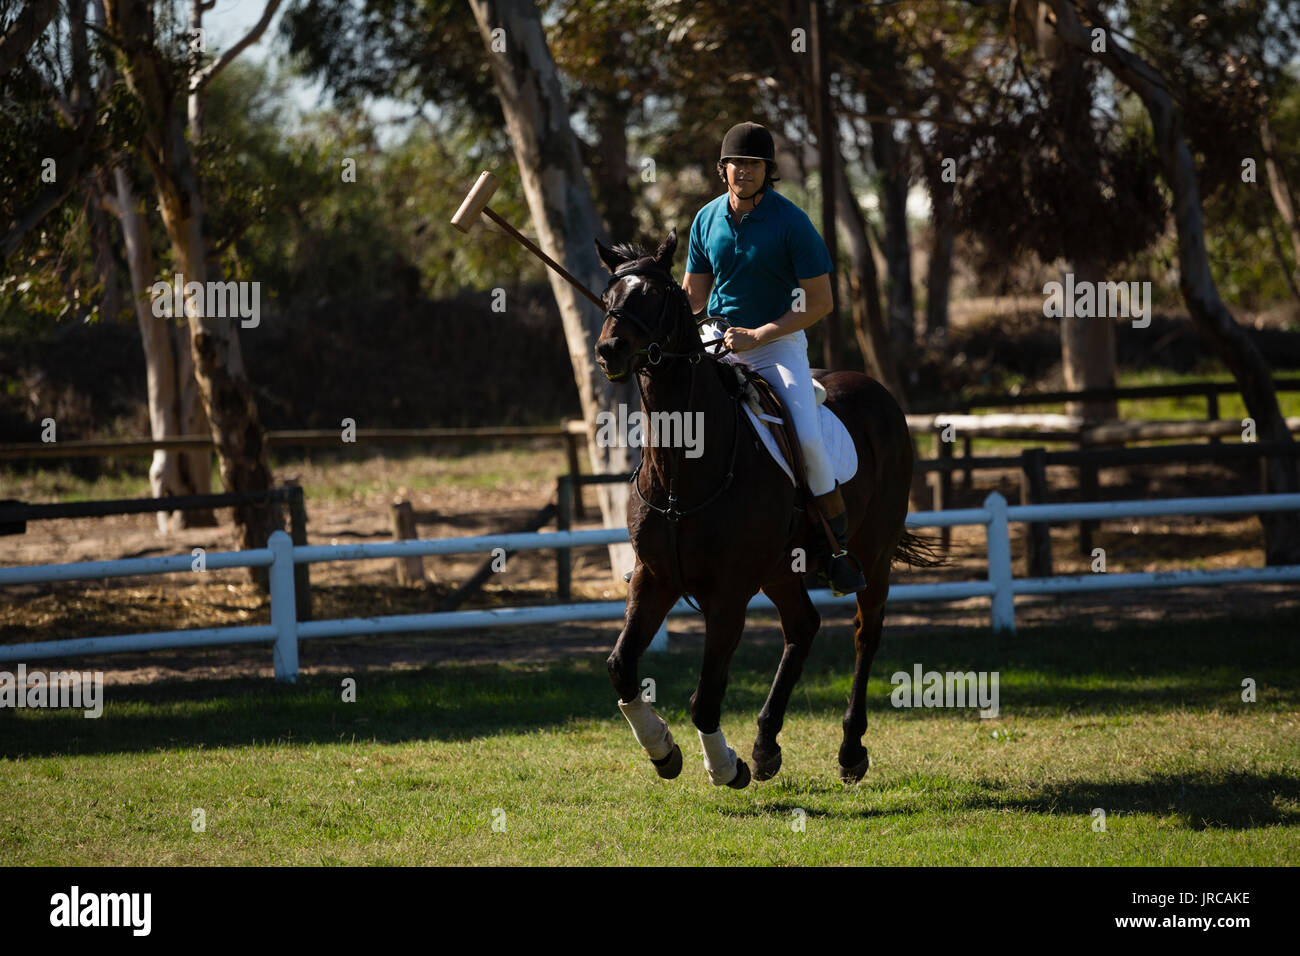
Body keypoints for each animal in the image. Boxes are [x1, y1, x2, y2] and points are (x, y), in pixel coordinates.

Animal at [594, 228, 939, 787]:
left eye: (655, 294)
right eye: (608, 297)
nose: (610, 350)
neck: (683, 470)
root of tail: (878, 391)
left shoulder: (730, 592)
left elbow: (705, 697)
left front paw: (724, 766)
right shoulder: (654, 576)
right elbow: (621, 667)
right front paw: (663, 750)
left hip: (874, 551)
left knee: (866, 634)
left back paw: (849, 750)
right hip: (781, 568)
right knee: (803, 627)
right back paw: (766, 743)